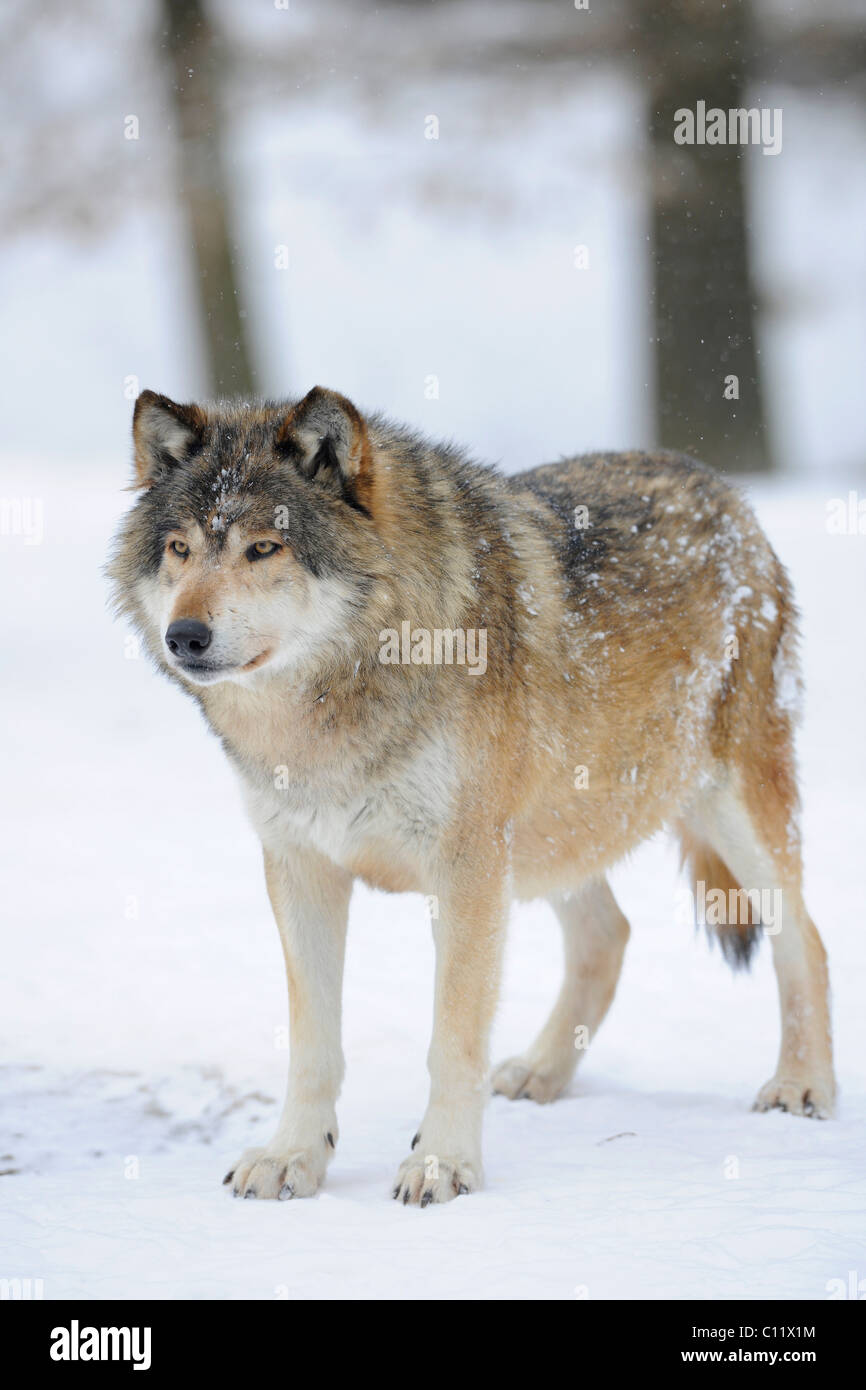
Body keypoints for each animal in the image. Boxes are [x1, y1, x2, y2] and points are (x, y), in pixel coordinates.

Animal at [109, 385, 836, 1205]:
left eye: (264, 549)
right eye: (180, 549)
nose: (184, 636)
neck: (331, 709)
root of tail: (720, 488)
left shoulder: (465, 870)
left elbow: (451, 1039)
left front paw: (441, 1163)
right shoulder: (301, 867)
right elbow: (311, 1043)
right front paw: (292, 1157)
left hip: (727, 813)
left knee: (806, 939)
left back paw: (803, 1086)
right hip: (548, 841)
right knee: (608, 935)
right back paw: (542, 1072)